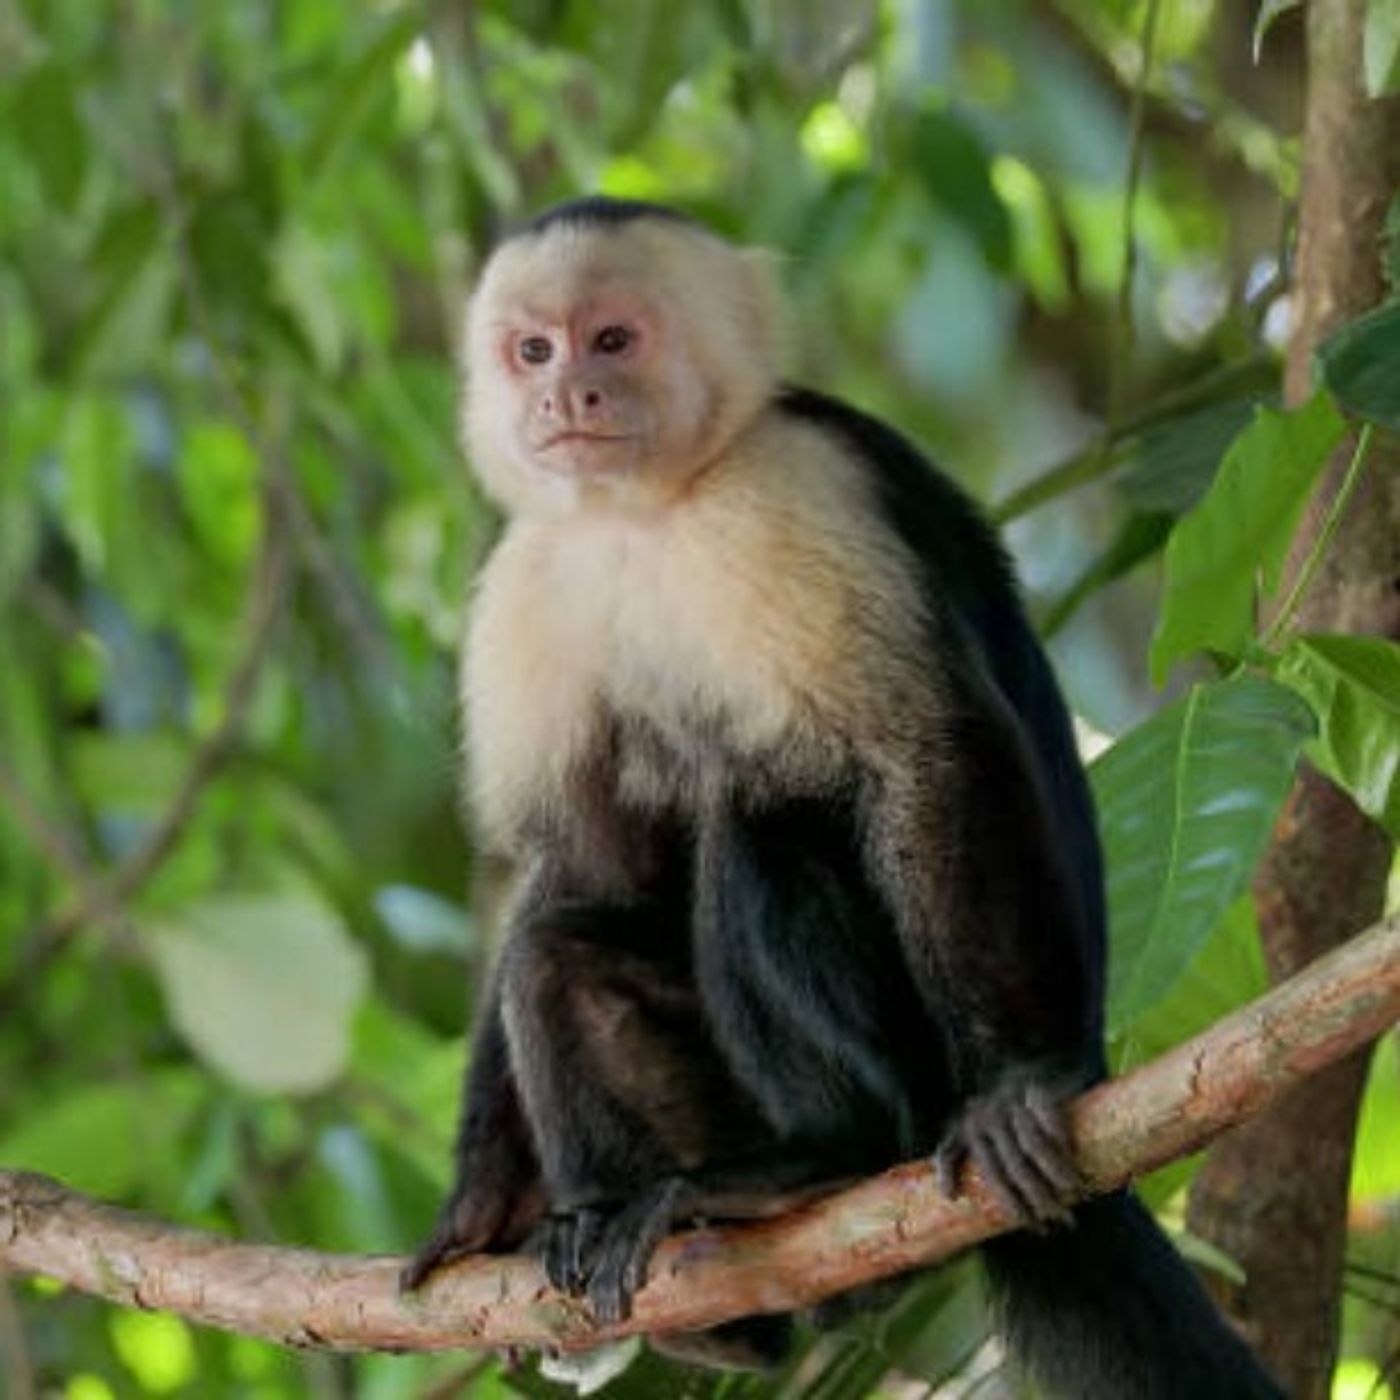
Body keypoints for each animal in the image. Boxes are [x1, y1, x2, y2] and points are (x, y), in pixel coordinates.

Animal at [402, 196, 1283, 1397]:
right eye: (532, 349)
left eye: (613, 341)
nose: (563, 397)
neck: (650, 511)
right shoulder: (531, 580)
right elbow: (581, 865)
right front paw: (485, 1201)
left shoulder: (797, 489)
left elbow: (927, 751)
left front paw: (1018, 1080)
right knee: (557, 958)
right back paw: (676, 1274)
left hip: (924, 1063)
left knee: (764, 826)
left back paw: (829, 1153)